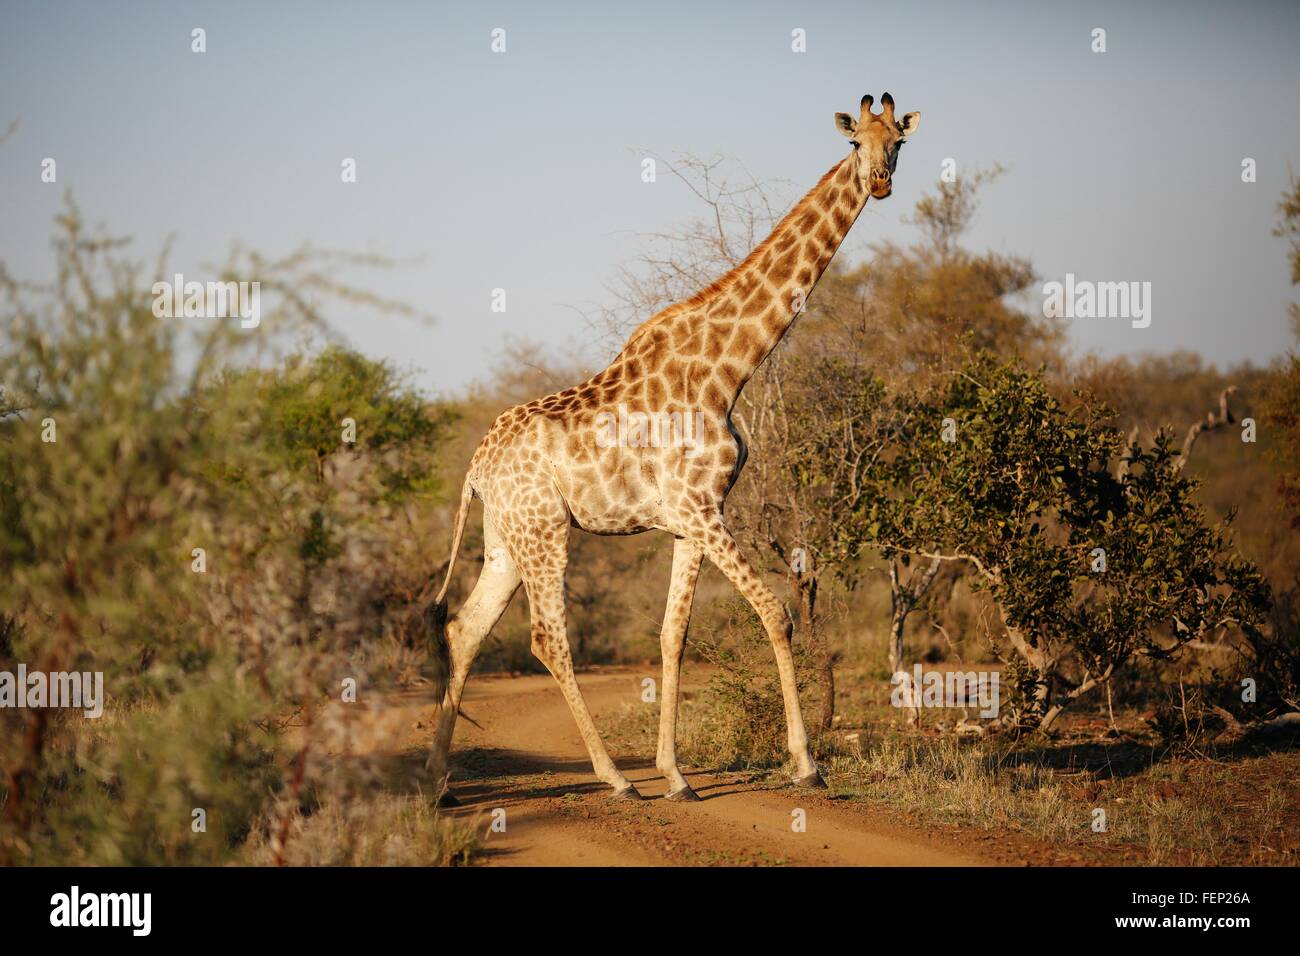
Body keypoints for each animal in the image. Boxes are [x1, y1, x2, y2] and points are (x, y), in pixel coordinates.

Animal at [426, 92, 921, 802]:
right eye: (857, 143)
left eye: (899, 143)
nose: (879, 182)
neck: (728, 369)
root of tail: (476, 465)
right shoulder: (699, 508)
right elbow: (776, 612)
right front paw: (806, 763)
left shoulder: (692, 518)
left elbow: (672, 635)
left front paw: (677, 773)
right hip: (546, 530)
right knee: (548, 640)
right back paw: (612, 778)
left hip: (506, 536)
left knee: (464, 630)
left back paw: (439, 782)